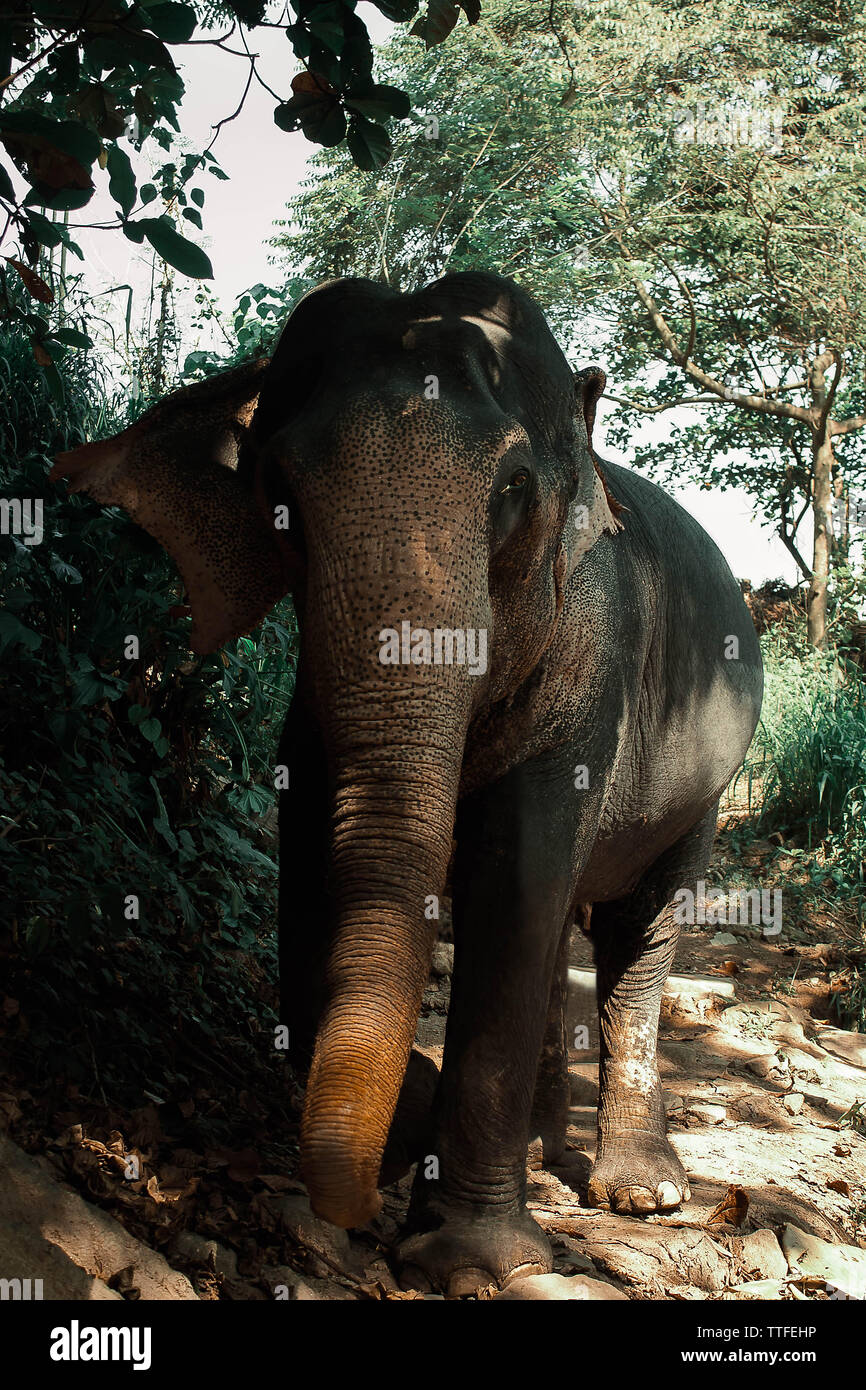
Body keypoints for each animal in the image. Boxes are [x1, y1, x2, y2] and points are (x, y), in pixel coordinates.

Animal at [52, 271, 763, 1296]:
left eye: (512, 491)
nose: (356, 1202)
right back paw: (543, 1149)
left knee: (637, 931)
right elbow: (315, 859)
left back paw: (642, 1192)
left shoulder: (594, 667)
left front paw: (472, 1261)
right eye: (277, 495)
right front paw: (412, 1151)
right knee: (564, 930)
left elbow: (515, 877)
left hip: (702, 794)